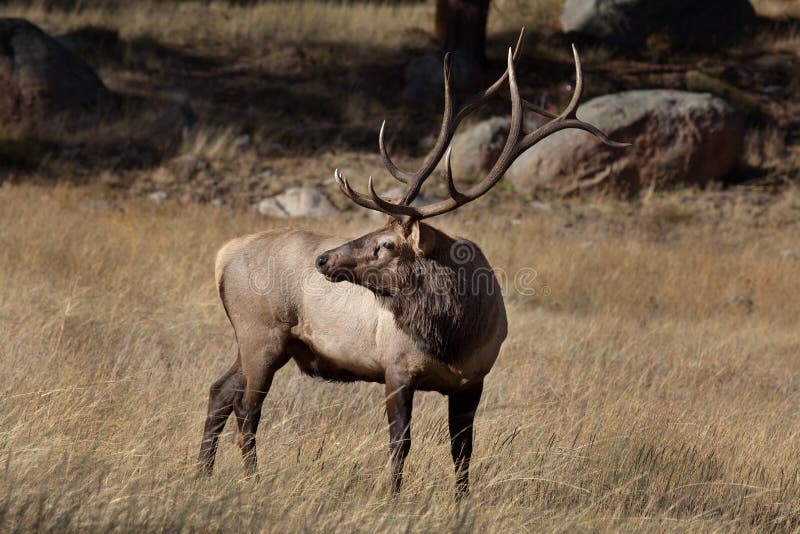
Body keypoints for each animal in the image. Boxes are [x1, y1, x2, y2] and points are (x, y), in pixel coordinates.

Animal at [197, 29, 627, 498]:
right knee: (247, 407)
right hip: (262, 332)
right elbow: (400, 442)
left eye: (385, 244)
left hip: (262, 341)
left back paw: (202, 473)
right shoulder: (396, 368)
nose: (323, 259)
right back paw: (251, 480)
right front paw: (393, 497)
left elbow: (462, 450)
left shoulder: (473, 380)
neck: (454, 336)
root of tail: (222, 255)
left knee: (221, 391)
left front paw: (462, 502)